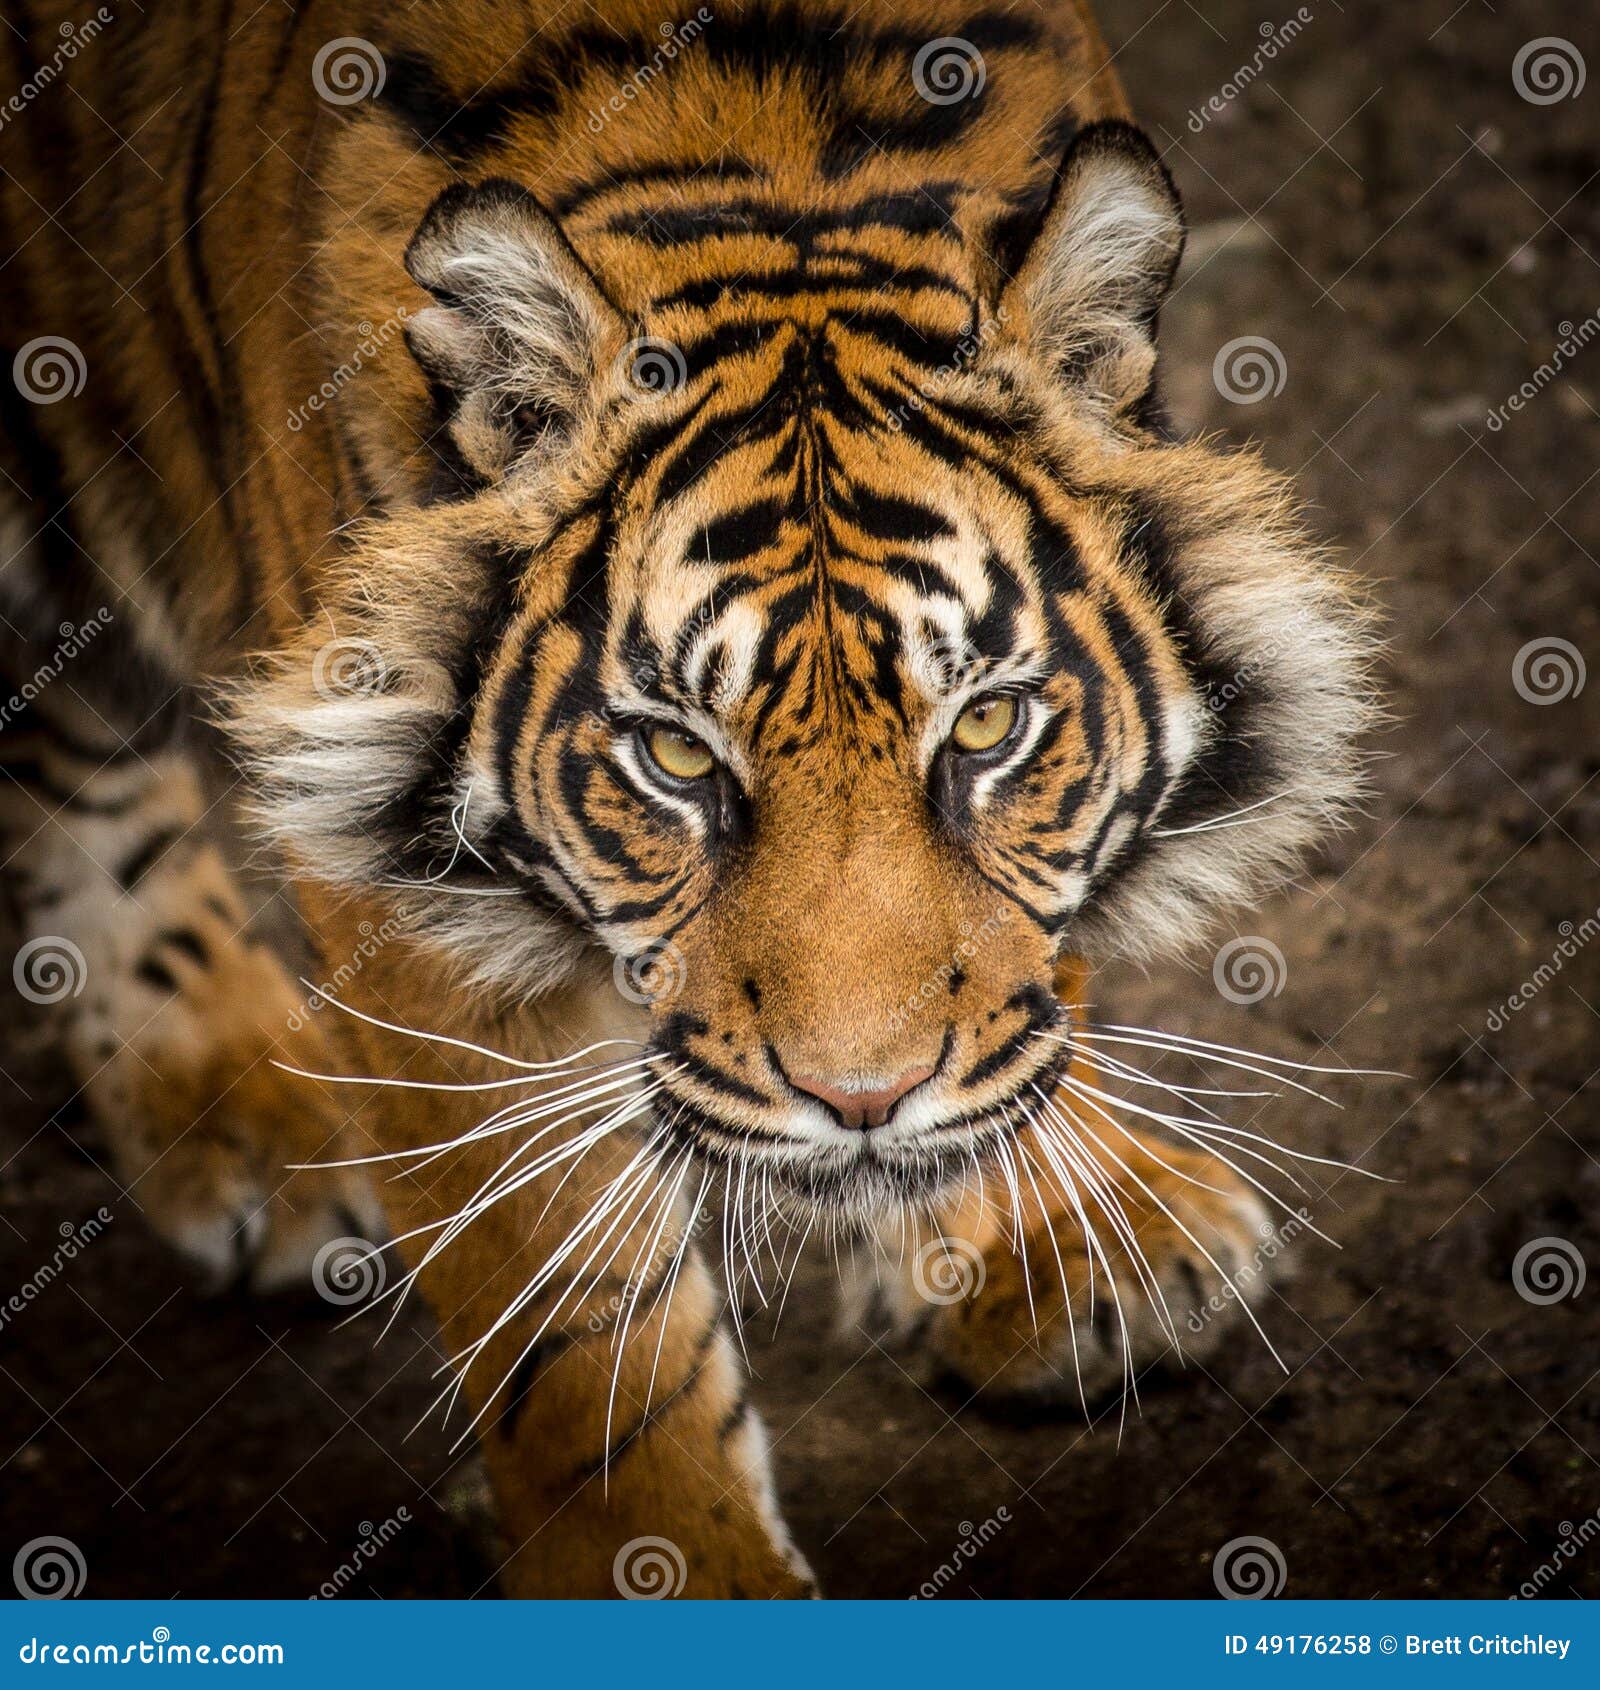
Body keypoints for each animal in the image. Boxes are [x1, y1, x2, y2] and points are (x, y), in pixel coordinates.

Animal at [0, 0, 1373, 1597]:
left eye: (987, 724)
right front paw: (675, 1561)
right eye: (674, 756)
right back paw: (240, 1103)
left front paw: (1056, 1238)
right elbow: (575, 1308)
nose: (864, 1101)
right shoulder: (418, 904)